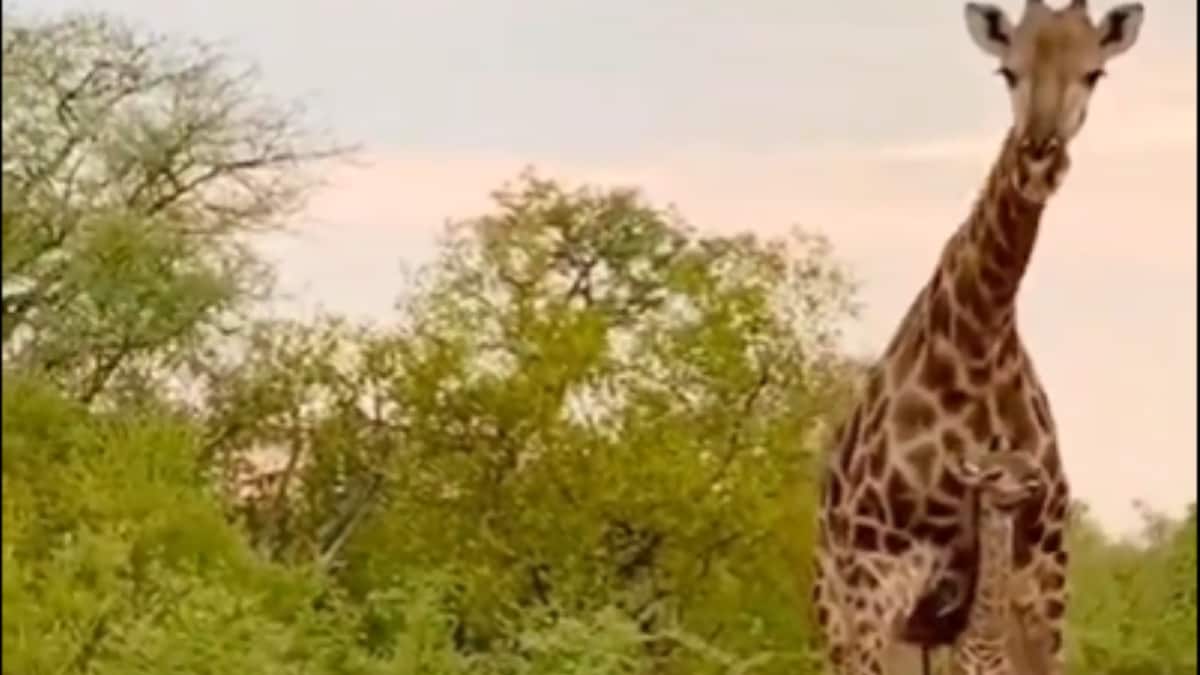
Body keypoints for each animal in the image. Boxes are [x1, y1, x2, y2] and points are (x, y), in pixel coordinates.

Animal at [810, 2, 1144, 674]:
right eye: (1006, 70)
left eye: (1094, 73)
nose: (1040, 155)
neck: (979, 345)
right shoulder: (880, 581)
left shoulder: (1044, 568)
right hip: (843, 609)